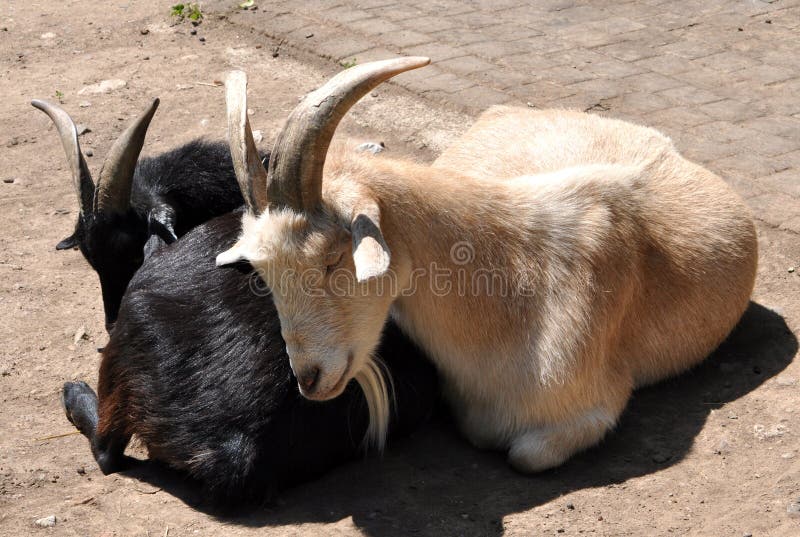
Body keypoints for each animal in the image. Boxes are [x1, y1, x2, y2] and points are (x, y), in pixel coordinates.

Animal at [216, 58, 758, 472]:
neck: (513, 291)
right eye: (264, 275)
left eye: (332, 260)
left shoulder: (589, 410)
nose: (308, 378)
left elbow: (524, 454)